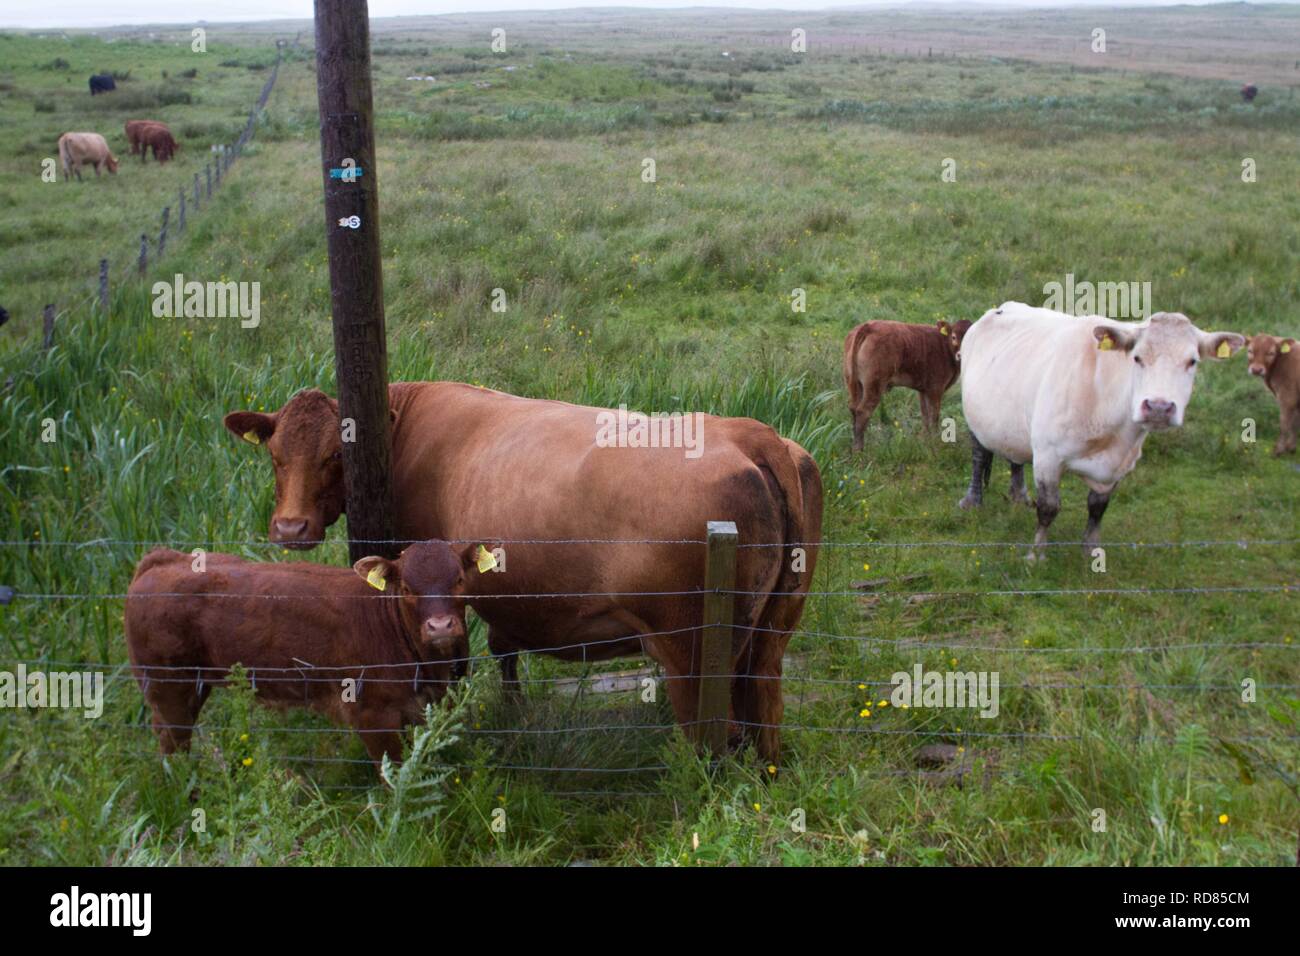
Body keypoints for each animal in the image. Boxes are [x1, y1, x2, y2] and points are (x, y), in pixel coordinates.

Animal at [125, 539, 480, 770]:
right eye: (406, 588)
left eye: (459, 580)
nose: (440, 626)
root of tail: (162, 559)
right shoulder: (372, 715)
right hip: (167, 685)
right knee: (172, 740)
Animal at [222, 381, 823, 764]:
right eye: (275, 455)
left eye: (335, 456)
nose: (291, 528)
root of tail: (750, 433)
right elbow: (504, 650)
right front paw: (514, 712)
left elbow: (459, 664)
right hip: (773, 629)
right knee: (764, 706)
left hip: (689, 645)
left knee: (711, 734)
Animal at [843, 319, 971, 451]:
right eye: (954, 337)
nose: (961, 354)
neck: (945, 346)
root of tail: (869, 326)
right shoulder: (936, 388)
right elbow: (934, 416)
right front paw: (936, 443)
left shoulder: (923, 389)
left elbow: (925, 415)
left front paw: (925, 440)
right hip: (874, 385)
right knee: (863, 411)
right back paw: (859, 450)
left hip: (854, 383)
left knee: (853, 408)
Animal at [957, 303, 1244, 558]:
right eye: (1137, 358)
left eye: (1192, 361)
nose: (1159, 407)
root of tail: (997, 309)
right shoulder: (1048, 455)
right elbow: (1049, 508)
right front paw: (1036, 554)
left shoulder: (1117, 466)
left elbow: (1097, 508)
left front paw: (1090, 551)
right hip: (974, 415)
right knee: (979, 455)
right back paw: (972, 501)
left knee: (1014, 456)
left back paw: (1019, 497)